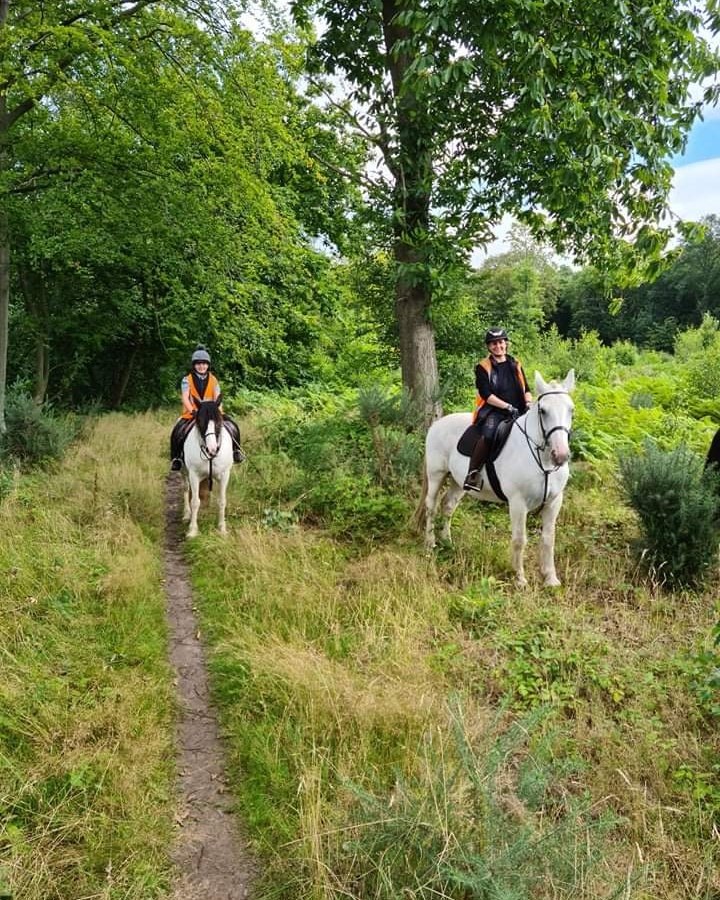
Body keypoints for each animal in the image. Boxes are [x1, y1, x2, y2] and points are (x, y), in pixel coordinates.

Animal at [181, 398, 234, 538]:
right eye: (200, 421)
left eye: (219, 421)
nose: (212, 449)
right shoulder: (193, 475)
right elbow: (195, 502)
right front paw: (192, 530)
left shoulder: (225, 475)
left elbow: (222, 501)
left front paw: (222, 528)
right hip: (183, 471)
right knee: (185, 489)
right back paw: (186, 514)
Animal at [416, 370, 575, 586]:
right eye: (543, 411)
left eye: (571, 410)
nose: (560, 455)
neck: (543, 462)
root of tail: (436, 424)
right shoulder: (518, 503)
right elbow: (519, 540)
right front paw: (519, 578)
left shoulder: (554, 502)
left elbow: (548, 539)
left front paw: (551, 579)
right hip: (436, 475)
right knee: (431, 506)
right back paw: (430, 544)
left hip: (458, 482)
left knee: (448, 506)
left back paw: (447, 542)